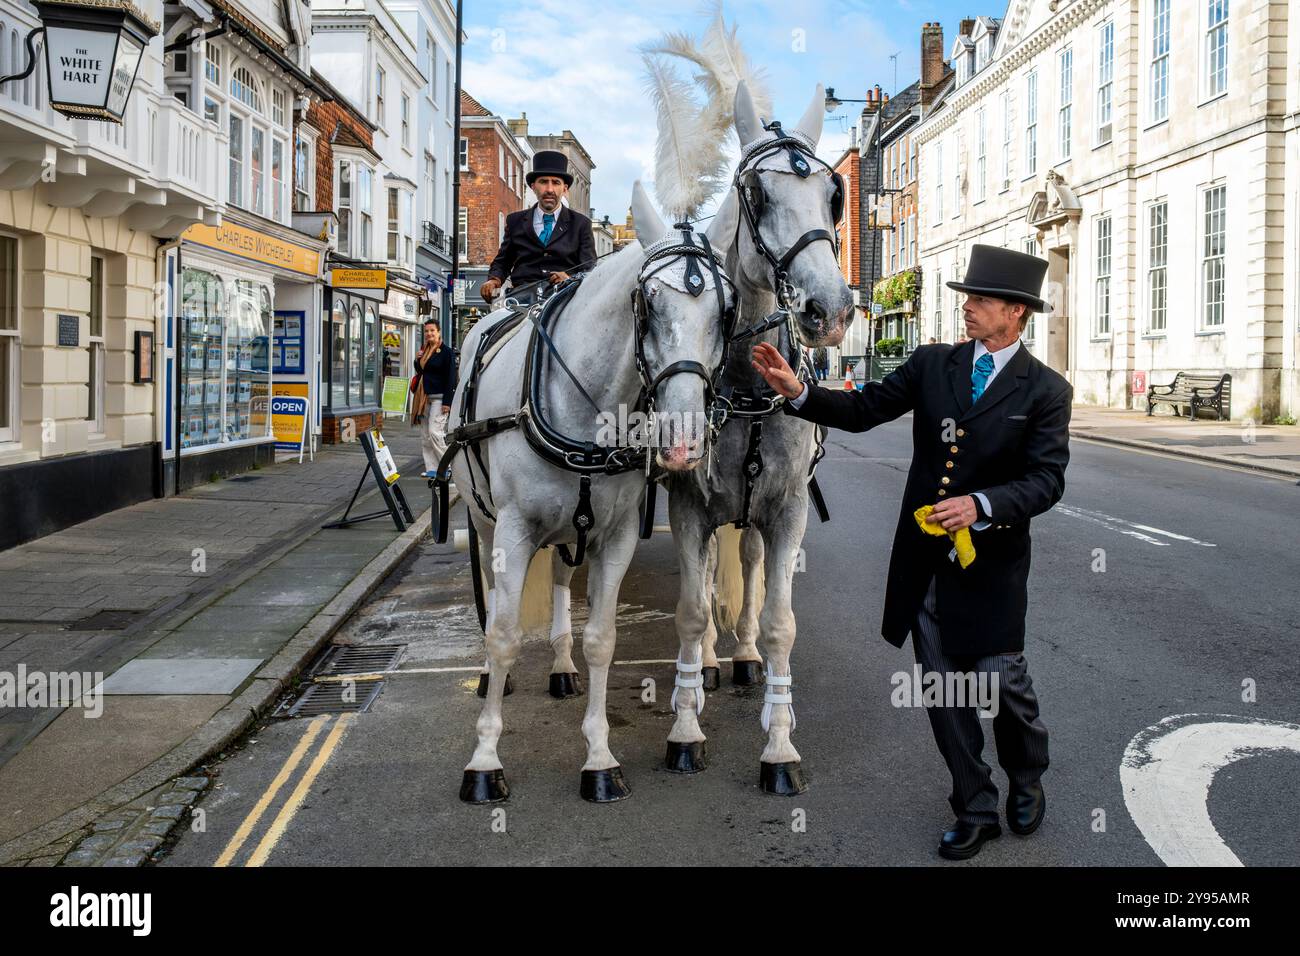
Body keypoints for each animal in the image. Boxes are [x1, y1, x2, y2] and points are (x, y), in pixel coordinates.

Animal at [441, 181, 739, 803]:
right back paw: (491, 676)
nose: (681, 441)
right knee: (490, 597)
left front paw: (600, 759)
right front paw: (484, 761)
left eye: (727, 312)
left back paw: (560, 666)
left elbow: (602, 639)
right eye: (646, 302)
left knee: (558, 578)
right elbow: (503, 635)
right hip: (484, 521)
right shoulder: (513, 530)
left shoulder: (614, 535)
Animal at [662, 82, 856, 794]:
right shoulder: (689, 505)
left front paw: (779, 744)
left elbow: (778, 625)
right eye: (758, 194)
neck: (747, 387)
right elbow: (692, 610)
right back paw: (711, 664)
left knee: (744, 563)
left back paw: (739, 654)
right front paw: (685, 728)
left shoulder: (788, 508)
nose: (831, 310)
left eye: (834, 194)